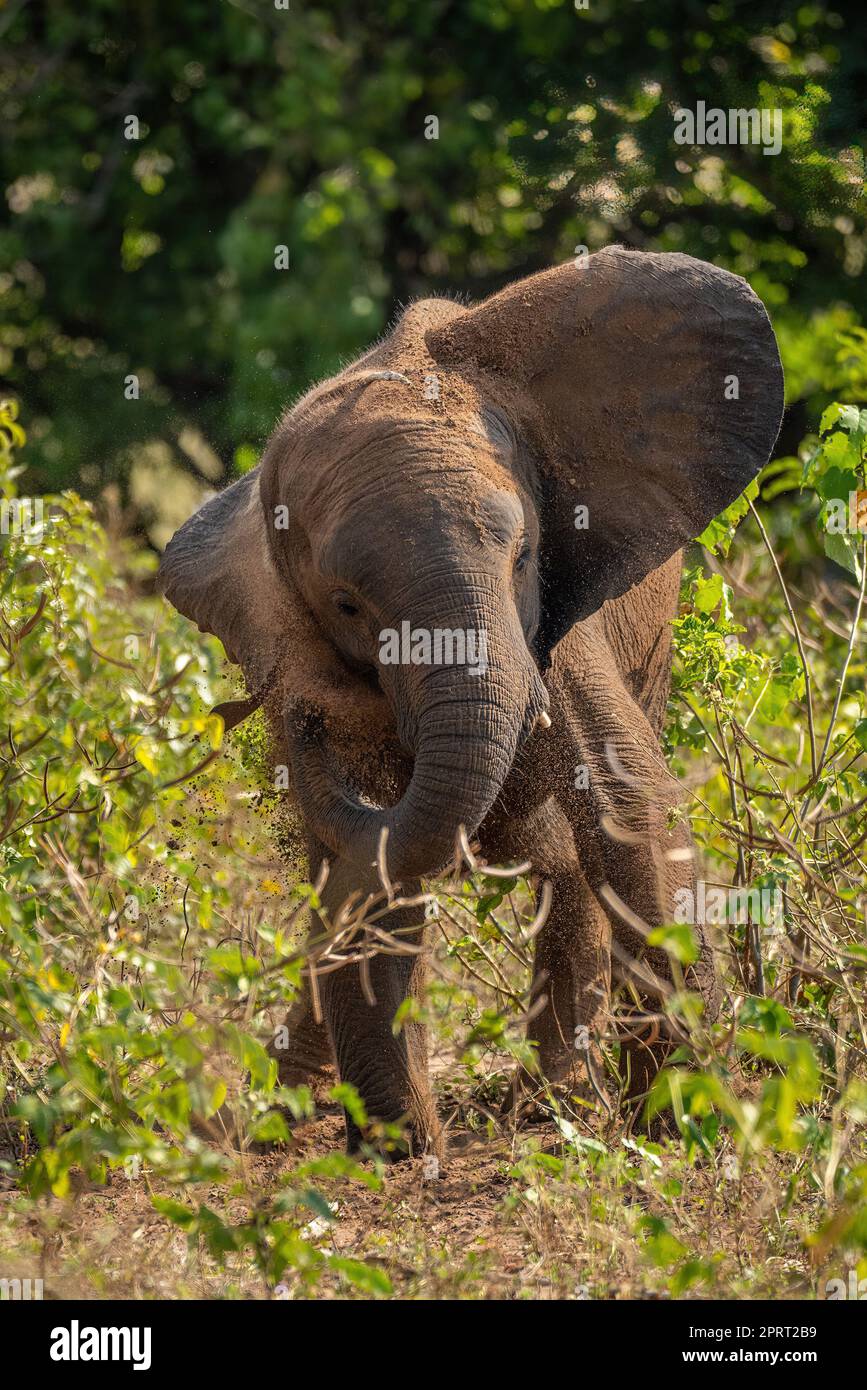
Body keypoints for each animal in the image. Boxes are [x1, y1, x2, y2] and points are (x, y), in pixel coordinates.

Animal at [159, 247, 784, 1160]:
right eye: (347, 606)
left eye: (523, 555)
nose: (300, 723)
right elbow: (377, 857)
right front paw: (404, 1150)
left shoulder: (559, 624)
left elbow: (626, 799)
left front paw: (679, 1131)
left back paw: (549, 1100)